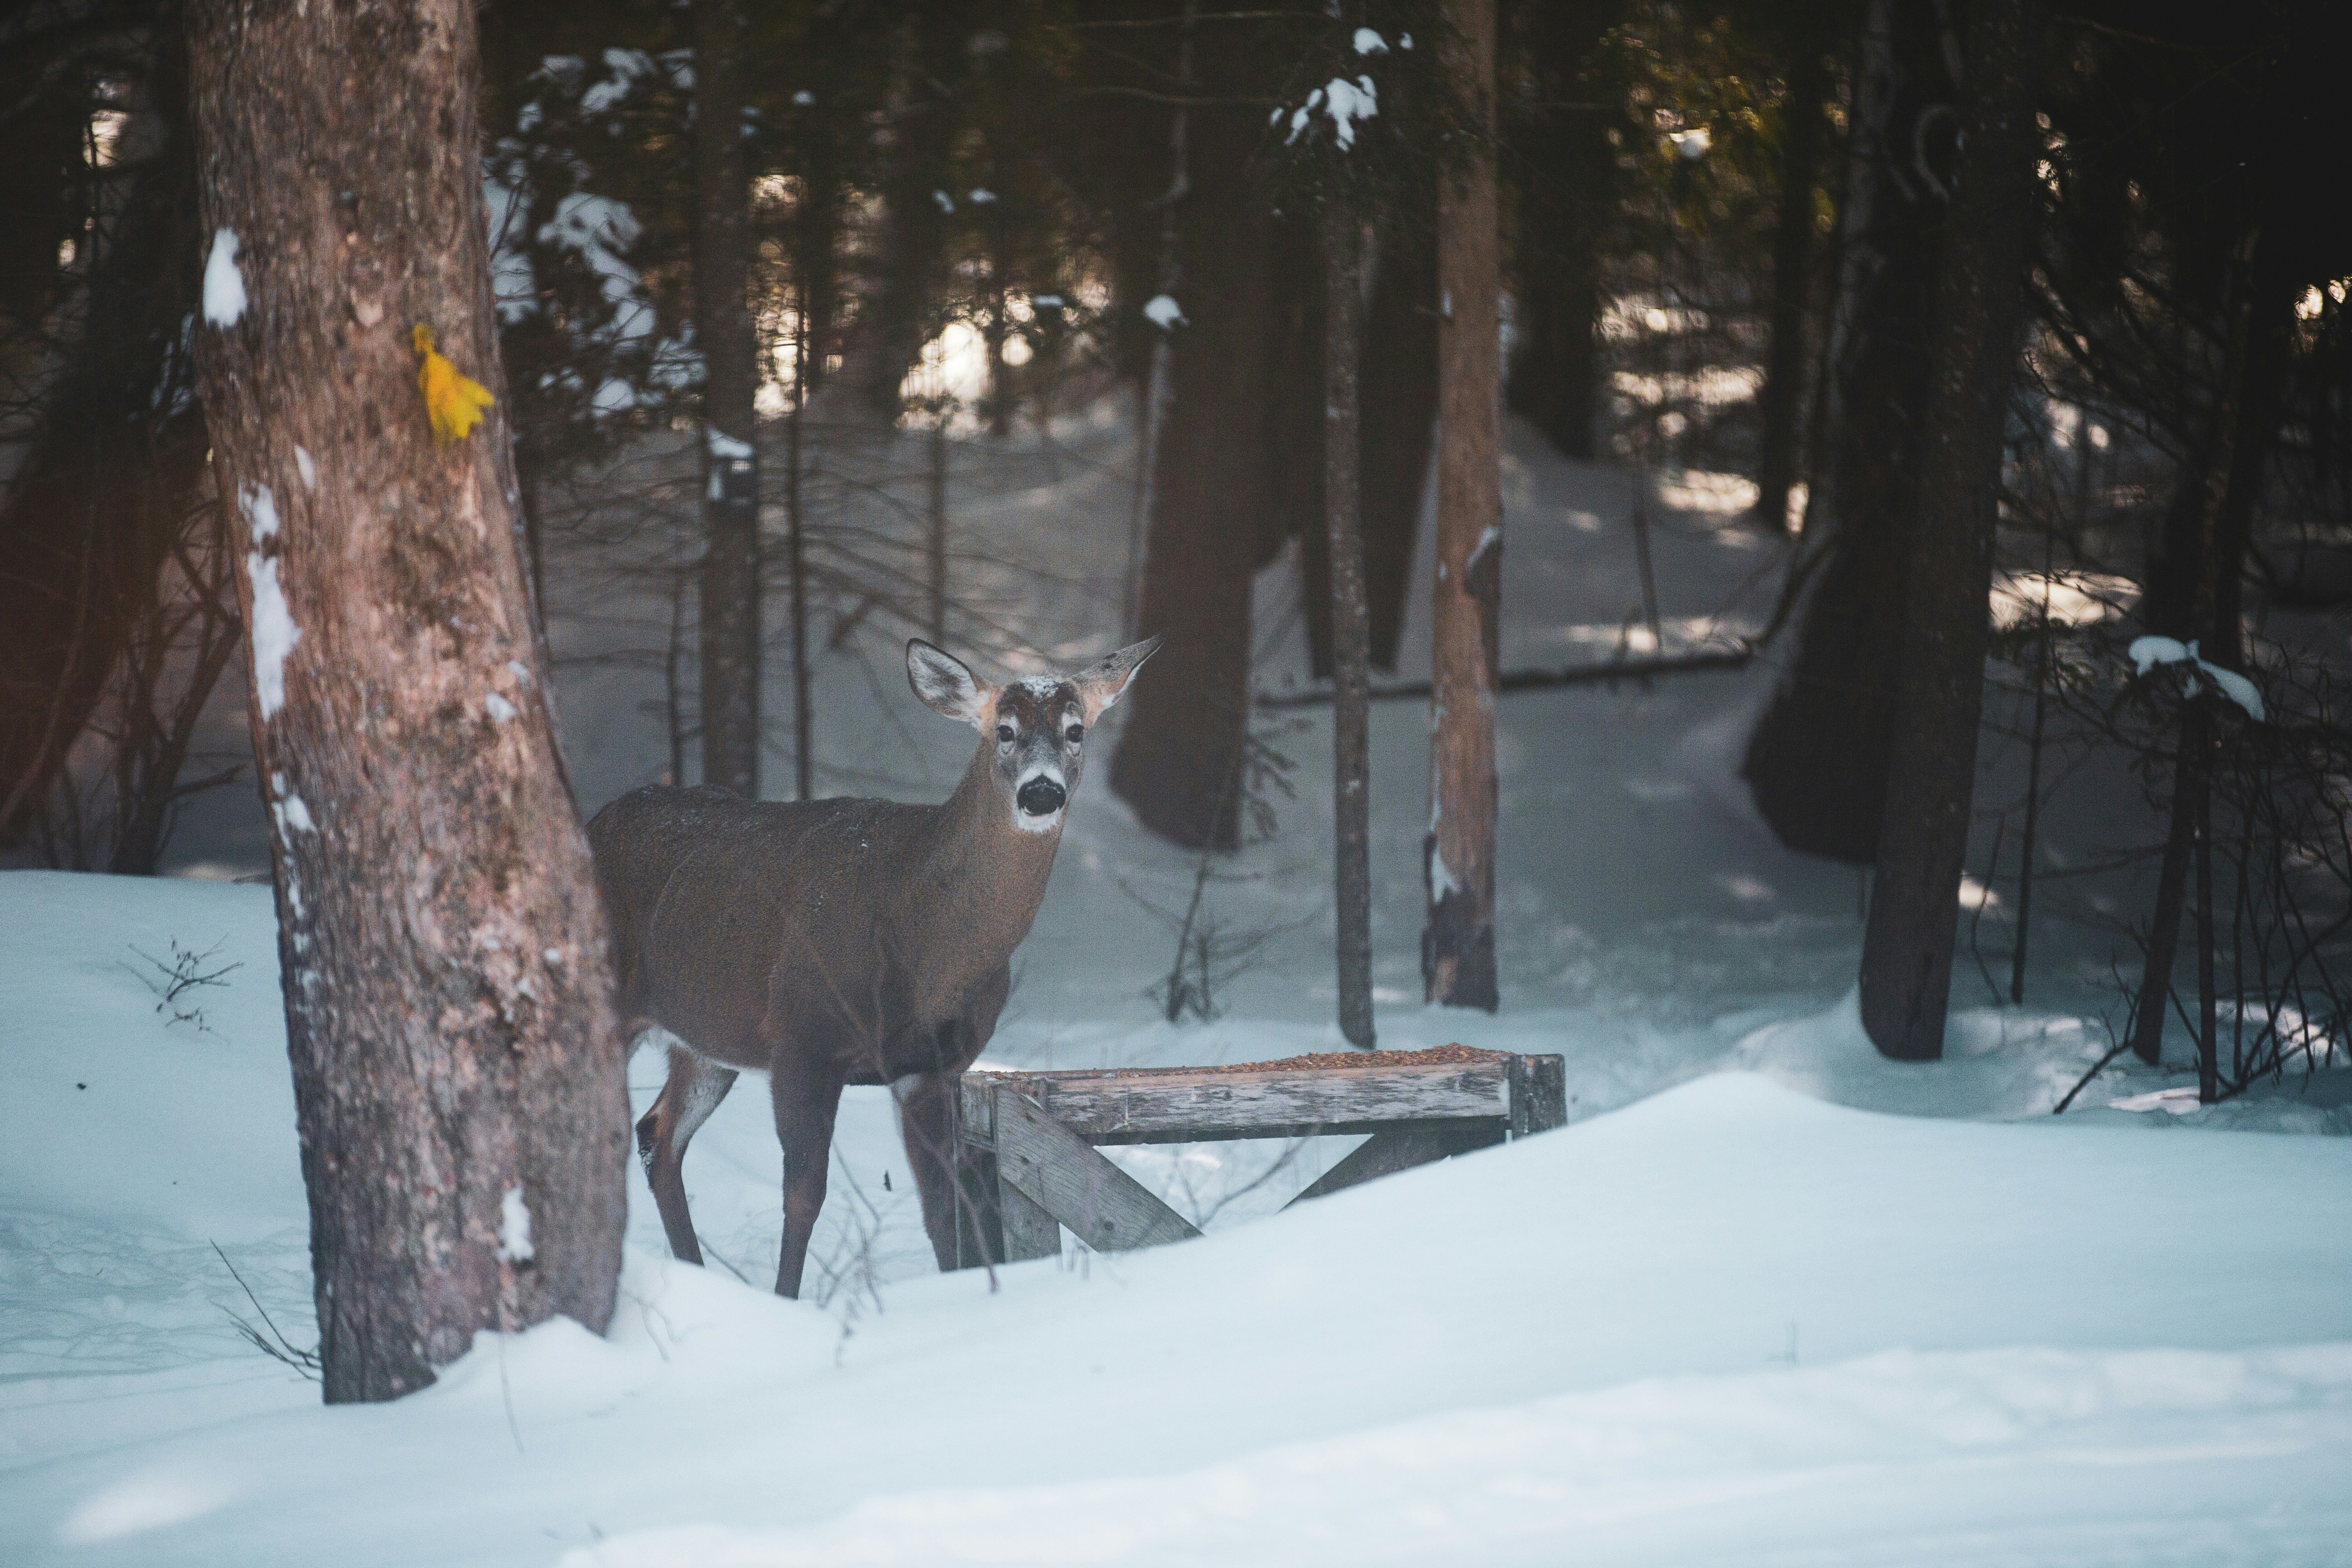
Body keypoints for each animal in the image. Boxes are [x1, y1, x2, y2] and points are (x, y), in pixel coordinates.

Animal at [586, 634, 1161, 1298]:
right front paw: (789, 1303)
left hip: (705, 1041)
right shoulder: (803, 1037)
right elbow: (804, 1196)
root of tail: (591, 823)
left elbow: (941, 1211)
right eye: (1006, 731)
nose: (1041, 792)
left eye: (1074, 730)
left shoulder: (930, 1067)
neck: (921, 943)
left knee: (659, 1135)